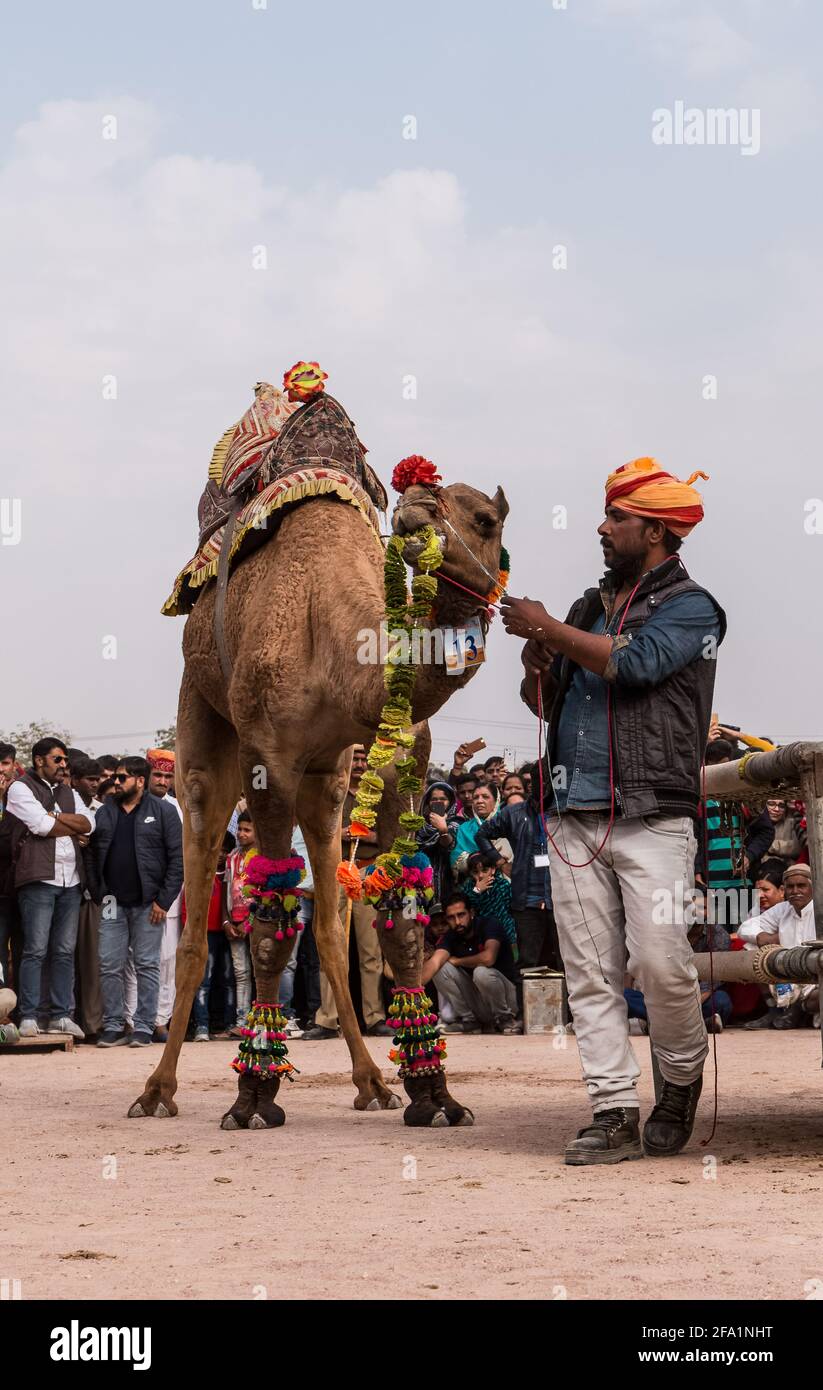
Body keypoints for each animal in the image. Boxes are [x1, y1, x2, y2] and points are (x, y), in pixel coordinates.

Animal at [130, 399, 508, 1130]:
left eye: (485, 518)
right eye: (425, 502)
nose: (418, 510)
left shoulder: (397, 769)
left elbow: (400, 921)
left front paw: (435, 1095)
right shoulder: (268, 760)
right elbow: (269, 928)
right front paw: (253, 1097)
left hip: (328, 785)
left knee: (332, 927)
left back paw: (373, 1082)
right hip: (204, 731)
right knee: (195, 925)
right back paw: (156, 1090)